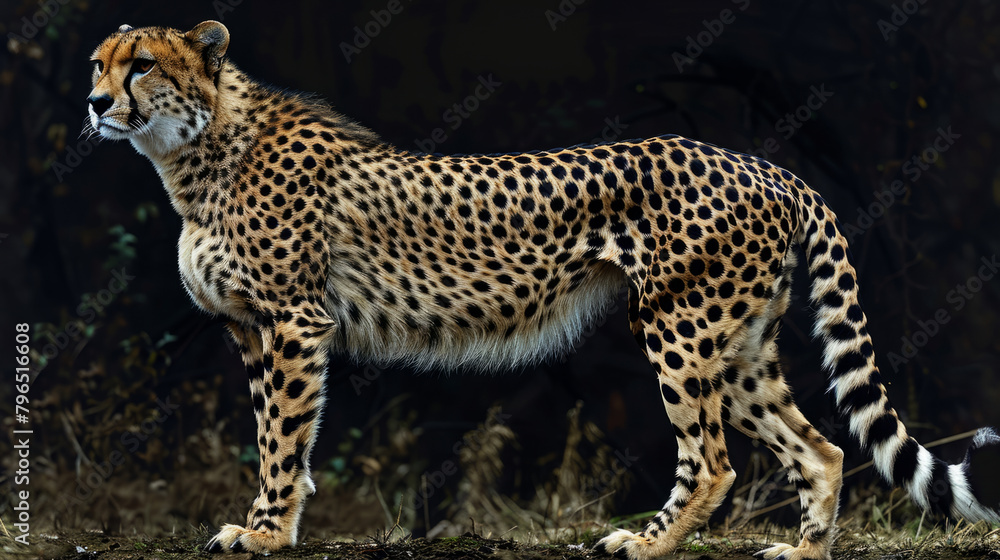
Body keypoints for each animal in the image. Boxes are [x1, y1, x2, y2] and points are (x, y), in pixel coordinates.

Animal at [86, 20, 1000, 560]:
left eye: (143, 66)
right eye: (99, 63)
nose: (94, 103)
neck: (197, 148)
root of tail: (765, 164)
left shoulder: (292, 322)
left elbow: (281, 437)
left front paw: (268, 532)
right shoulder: (252, 329)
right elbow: (280, 438)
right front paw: (272, 519)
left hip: (677, 326)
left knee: (710, 460)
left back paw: (646, 543)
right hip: (738, 343)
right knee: (820, 447)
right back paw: (806, 549)